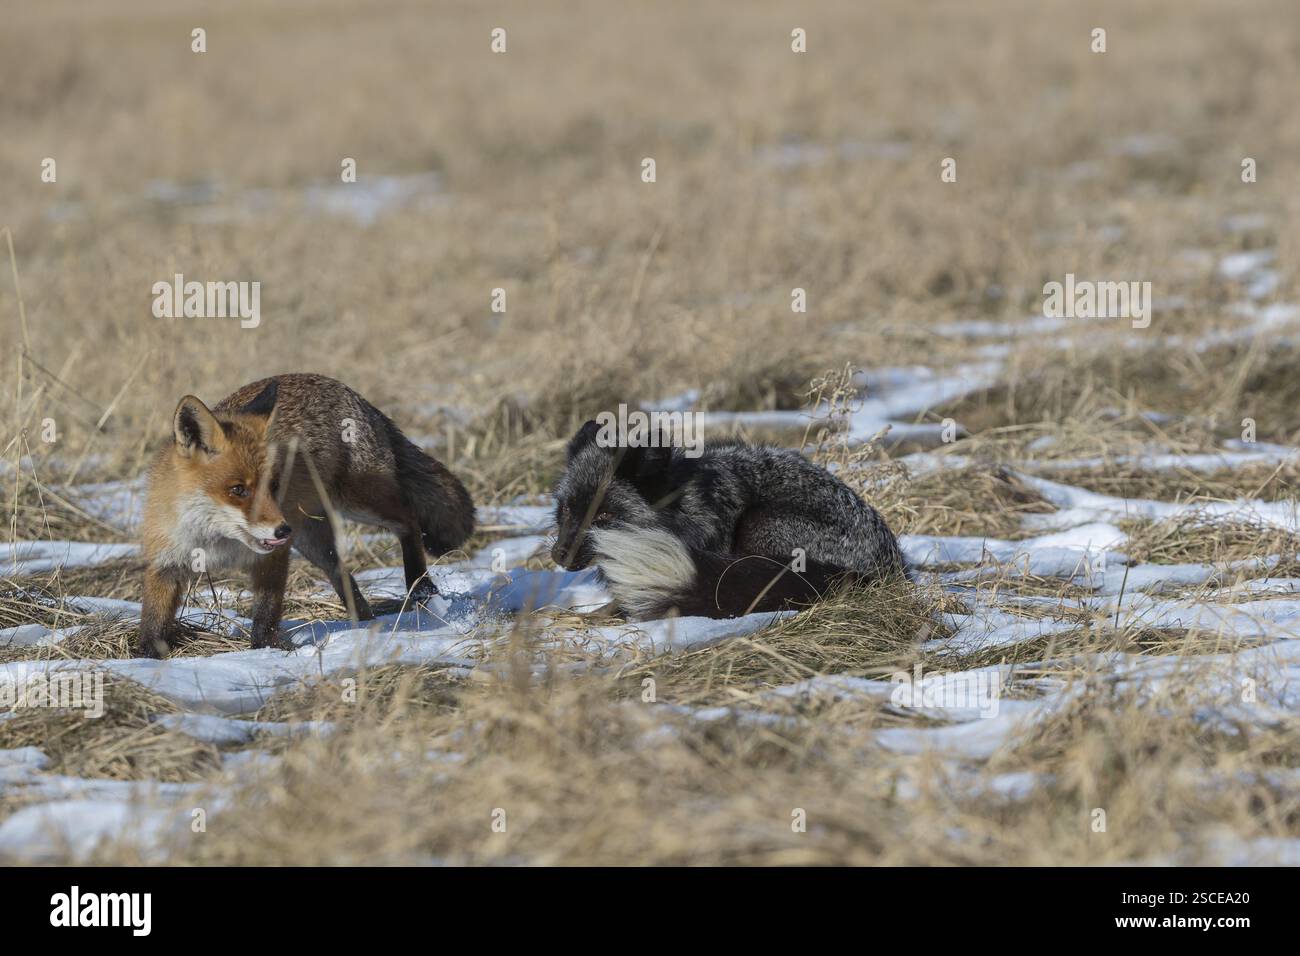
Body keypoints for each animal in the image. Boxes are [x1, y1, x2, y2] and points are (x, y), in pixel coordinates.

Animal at [138, 373, 475, 657]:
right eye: (238, 489)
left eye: (273, 486)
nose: (281, 530)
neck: (215, 541)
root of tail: (351, 393)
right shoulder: (166, 562)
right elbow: (153, 619)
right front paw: (146, 657)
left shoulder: (274, 555)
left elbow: (266, 612)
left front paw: (266, 650)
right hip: (313, 541)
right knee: (342, 572)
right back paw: (362, 621)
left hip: (358, 502)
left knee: (409, 518)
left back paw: (420, 587)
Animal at [550, 420, 906, 620]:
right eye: (567, 510)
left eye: (605, 515)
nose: (559, 555)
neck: (690, 508)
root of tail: (888, 569)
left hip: (758, 524)